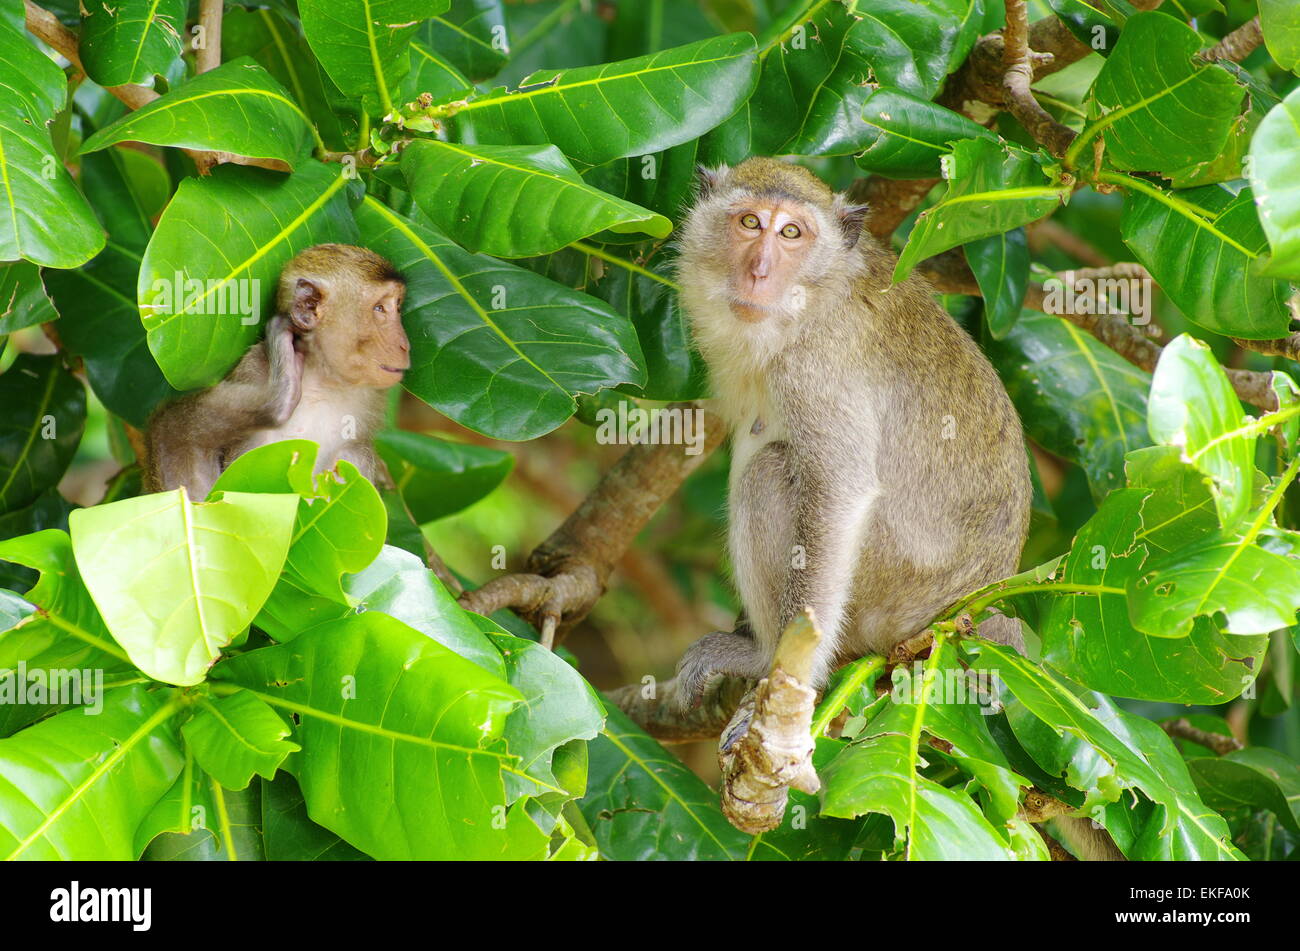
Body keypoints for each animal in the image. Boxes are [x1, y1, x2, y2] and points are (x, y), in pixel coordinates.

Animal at [144, 244, 411, 500]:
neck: (322, 380)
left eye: (397, 307)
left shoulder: (372, 399)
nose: (405, 345)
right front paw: (280, 395)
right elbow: (172, 433)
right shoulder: (253, 370)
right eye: (379, 308)